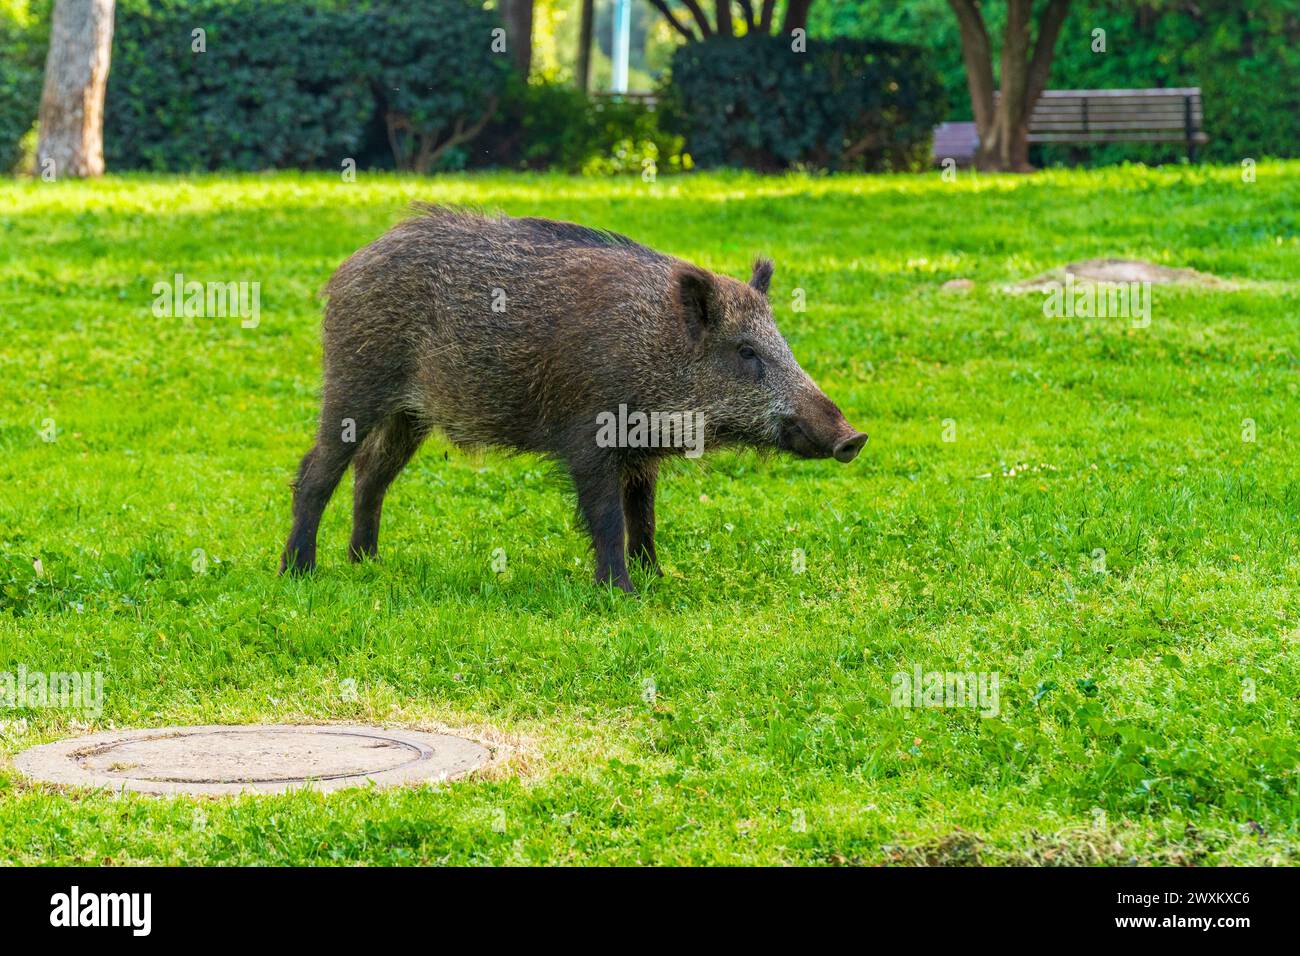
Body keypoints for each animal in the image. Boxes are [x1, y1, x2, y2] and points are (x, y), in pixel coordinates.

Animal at [280, 205, 867, 593]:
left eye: (782, 342)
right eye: (746, 351)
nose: (854, 437)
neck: (655, 347)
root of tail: (347, 268)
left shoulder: (641, 453)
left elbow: (644, 516)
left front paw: (657, 578)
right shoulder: (589, 438)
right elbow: (607, 517)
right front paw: (621, 593)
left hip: (410, 414)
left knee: (371, 474)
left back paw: (367, 565)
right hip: (355, 382)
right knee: (317, 471)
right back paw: (299, 572)